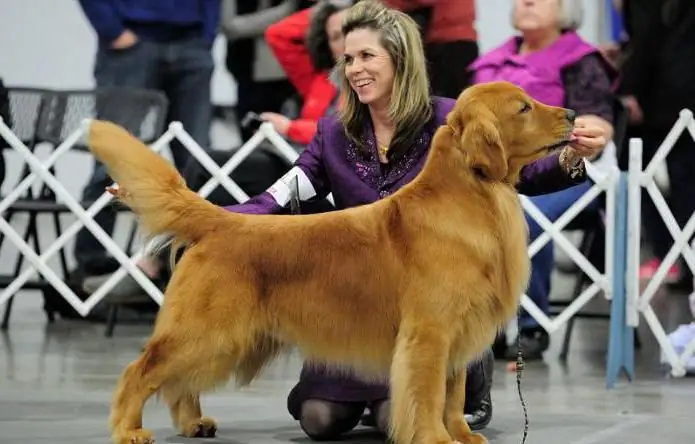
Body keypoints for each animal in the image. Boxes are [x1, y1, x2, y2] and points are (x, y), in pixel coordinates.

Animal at [89, 80, 572, 444]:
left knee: (179, 382)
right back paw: (129, 429)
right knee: (141, 370)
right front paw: (435, 438)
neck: (473, 197)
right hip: (204, 331)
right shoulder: (430, 333)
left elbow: (453, 396)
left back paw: (193, 423)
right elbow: (431, 394)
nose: (570, 115)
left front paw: (462, 435)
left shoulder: (460, 332)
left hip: (224, 340)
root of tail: (222, 221)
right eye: (524, 107)